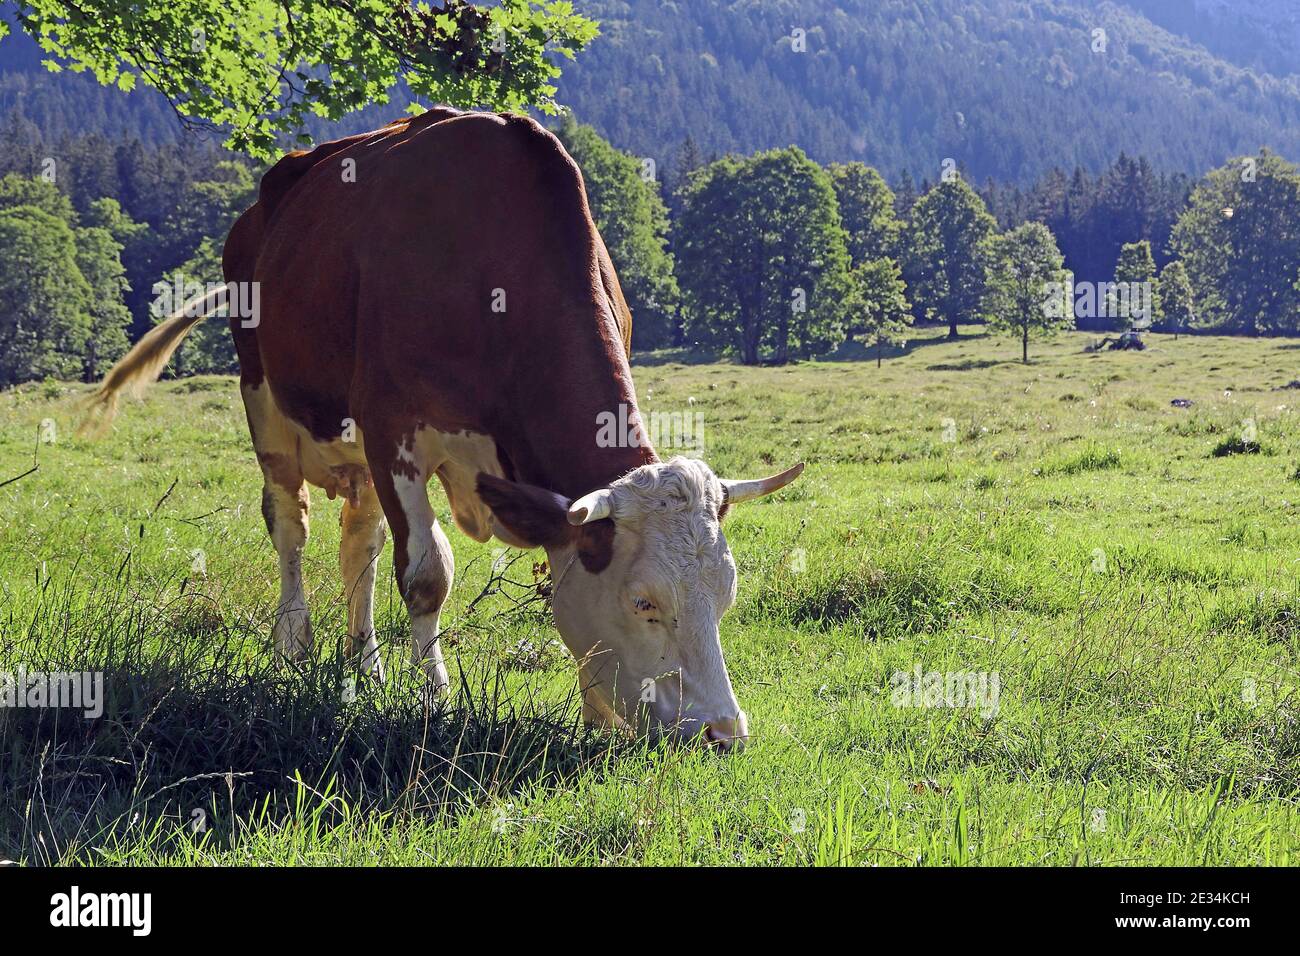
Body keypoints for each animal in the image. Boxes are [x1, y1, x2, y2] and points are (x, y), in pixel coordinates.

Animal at [84, 109, 803, 751]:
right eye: (643, 603)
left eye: (726, 596)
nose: (723, 733)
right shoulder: (391, 431)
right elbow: (427, 572)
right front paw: (433, 695)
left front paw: (593, 712)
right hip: (264, 401)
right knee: (290, 523)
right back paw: (294, 644)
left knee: (359, 542)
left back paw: (365, 662)